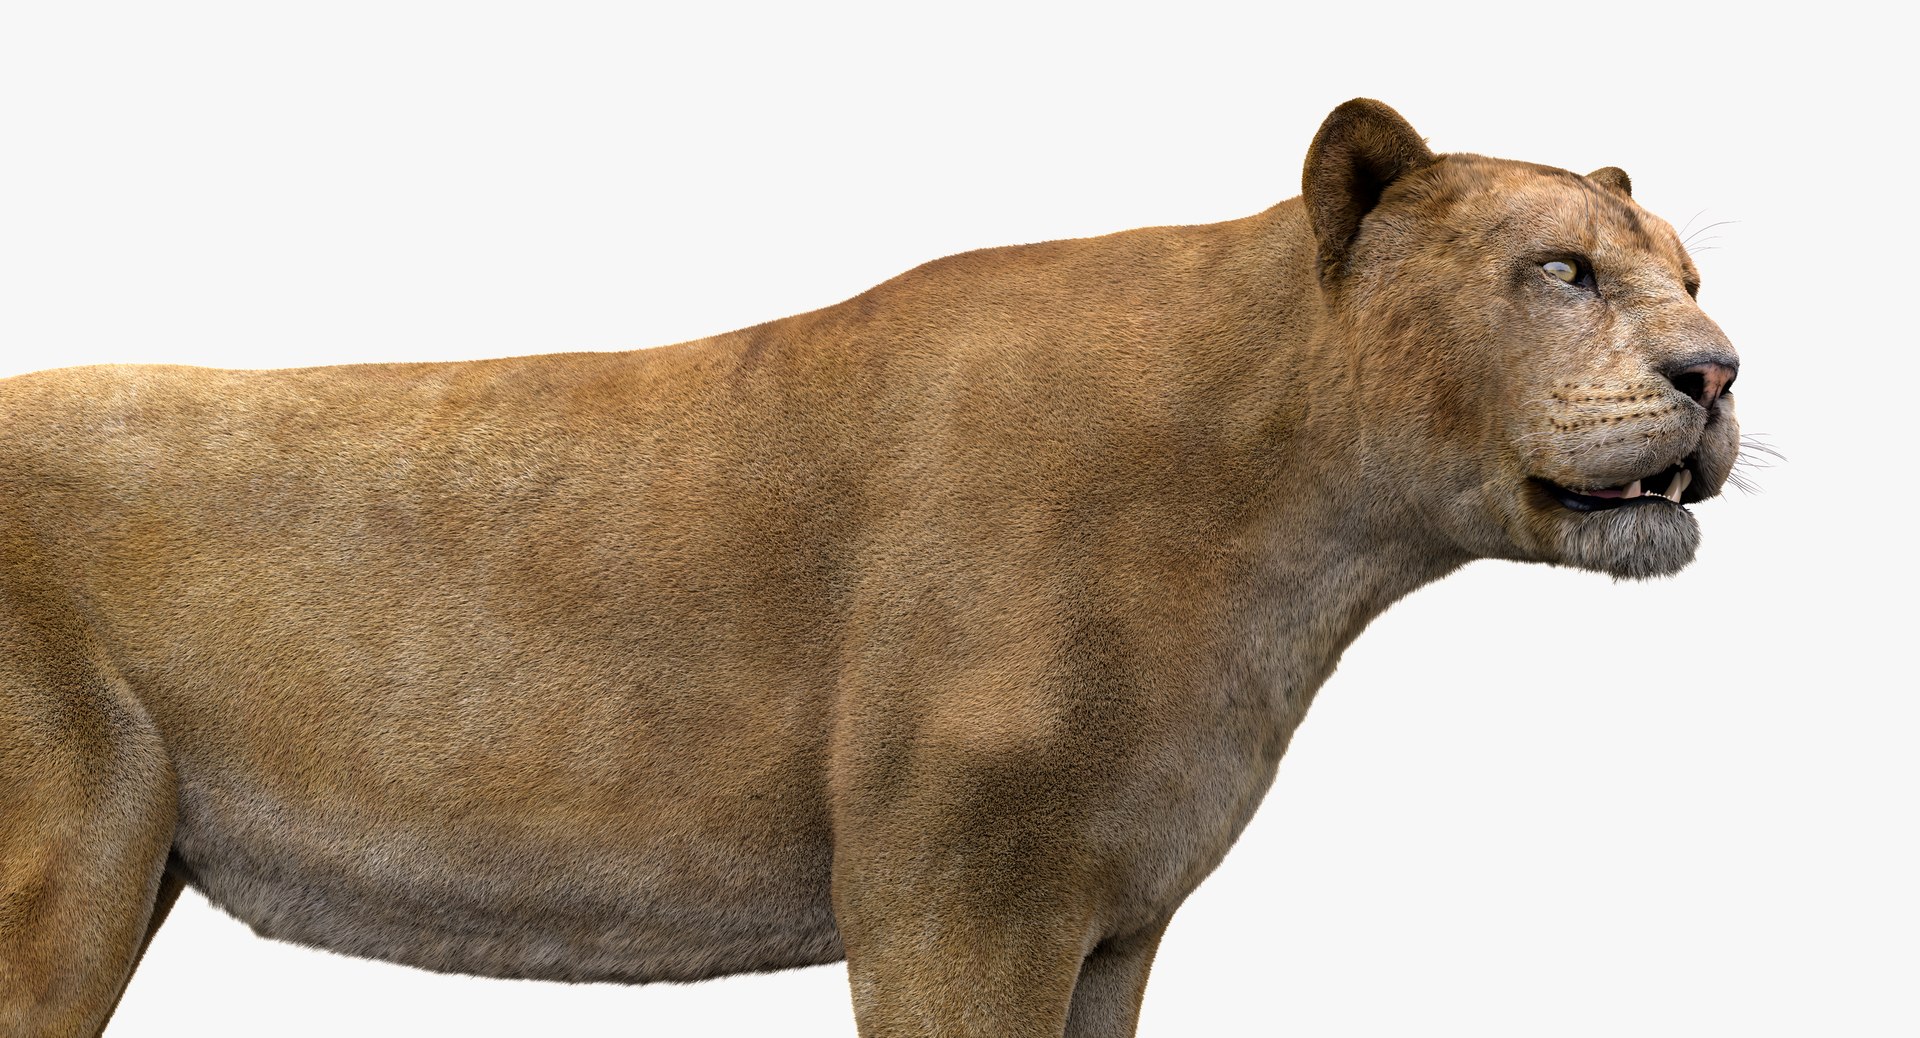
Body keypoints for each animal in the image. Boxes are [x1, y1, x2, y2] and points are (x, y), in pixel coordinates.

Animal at [0, 98, 1737, 1037]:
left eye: (1695, 277)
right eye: (1562, 271)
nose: (1719, 371)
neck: (1294, 520)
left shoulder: (1111, 923)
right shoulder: (953, 893)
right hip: (64, 868)